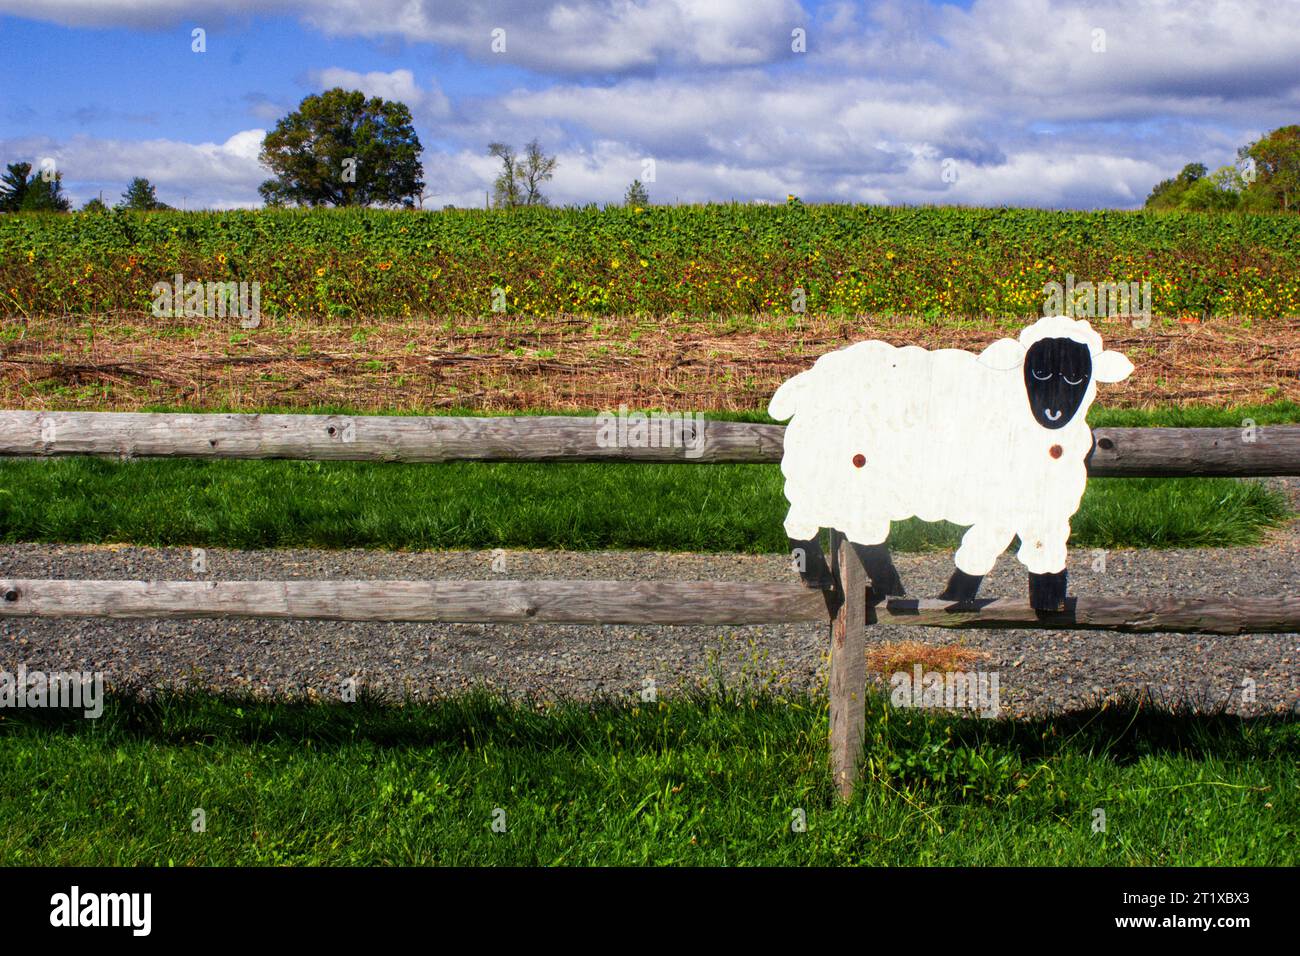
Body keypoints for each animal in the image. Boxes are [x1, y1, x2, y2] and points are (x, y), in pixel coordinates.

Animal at [768, 315, 1134, 610]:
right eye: (1039, 371)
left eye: (1078, 376)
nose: (1054, 413)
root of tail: (807, 378)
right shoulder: (1012, 501)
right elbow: (994, 546)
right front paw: (959, 595)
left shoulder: (1039, 504)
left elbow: (1027, 548)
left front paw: (1045, 600)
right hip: (832, 474)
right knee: (818, 526)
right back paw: (842, 579)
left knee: (843, 528)